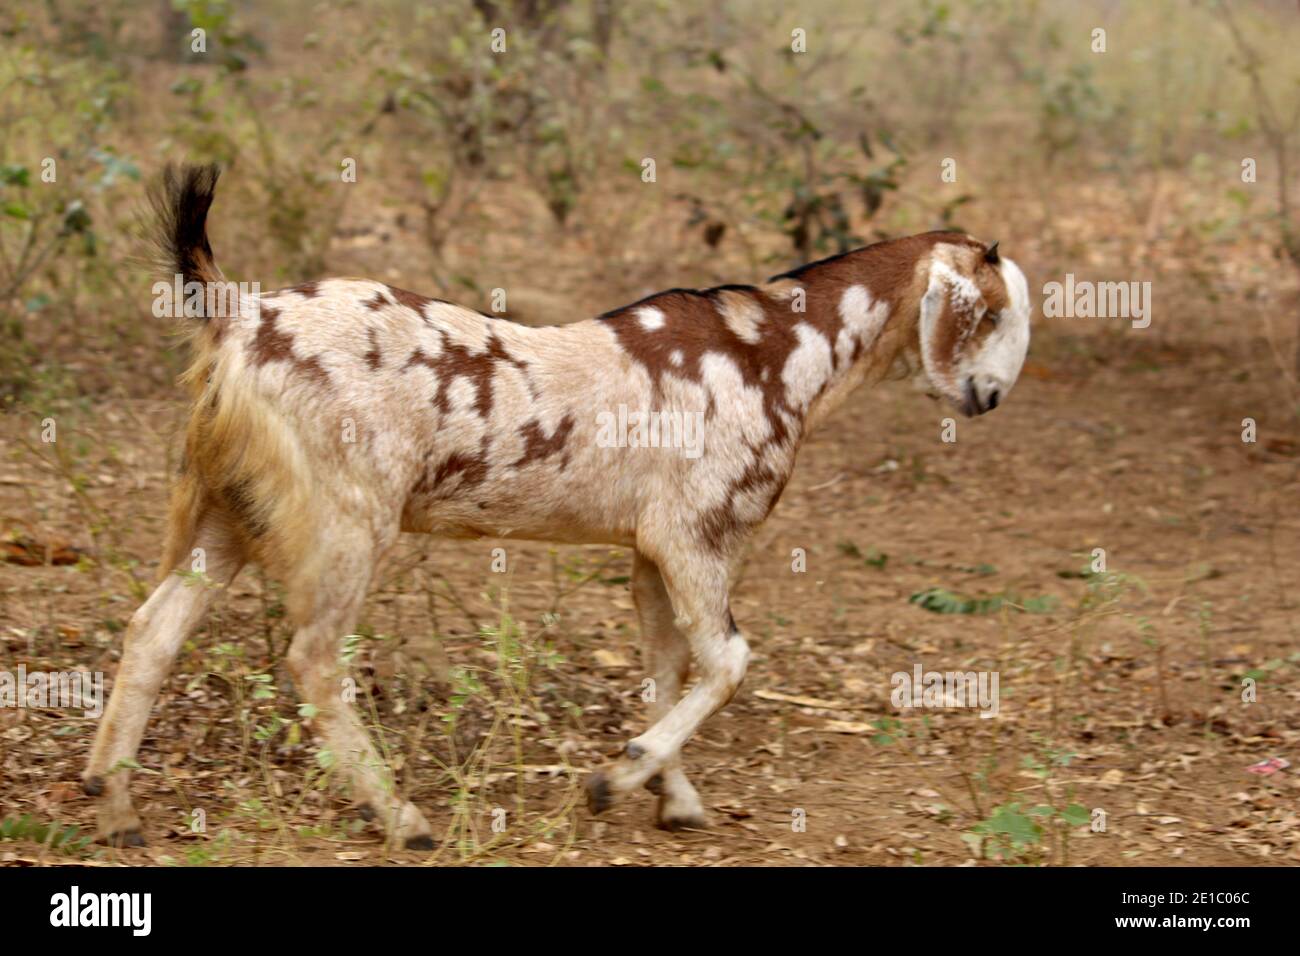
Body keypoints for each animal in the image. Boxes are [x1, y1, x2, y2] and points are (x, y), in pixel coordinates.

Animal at [82, 165, 1031, 848]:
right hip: (344, 521)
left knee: (154, 630)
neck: (774, 354)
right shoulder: (697, 536)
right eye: (989, 313)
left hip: (222, 512)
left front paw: (672, 798)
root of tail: (238, 316)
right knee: (313, 660)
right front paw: (617, 778)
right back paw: (401, 819)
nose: (988, 397)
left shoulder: (652, 551)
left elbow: (668, 667)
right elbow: (727, 663)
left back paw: (116, 806)